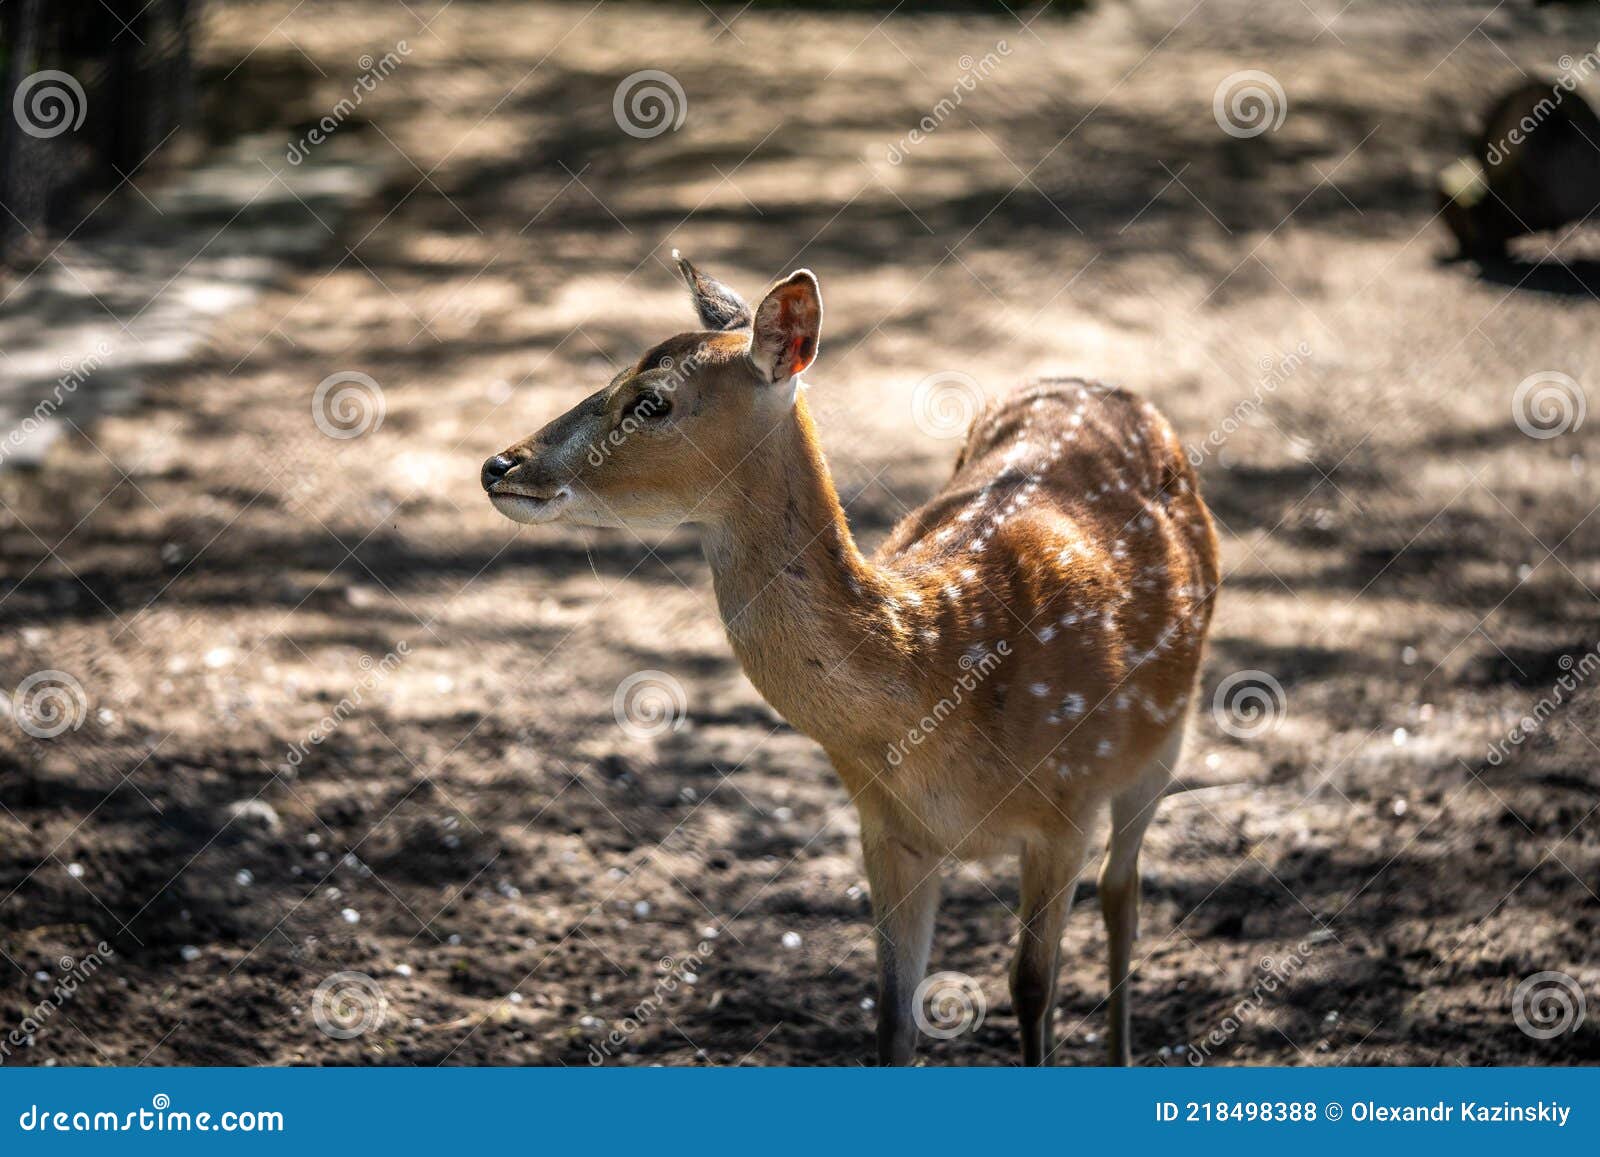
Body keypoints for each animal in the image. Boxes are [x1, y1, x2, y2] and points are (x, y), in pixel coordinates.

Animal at [480, 252, 1220, 1066]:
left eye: (651, 402)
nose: (499, 464)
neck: (944, 671)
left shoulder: (1067, 806)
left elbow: (1032, 987)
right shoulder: (885, 826)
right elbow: (893, 1014)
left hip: (1162, 735)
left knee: (1124, 892)